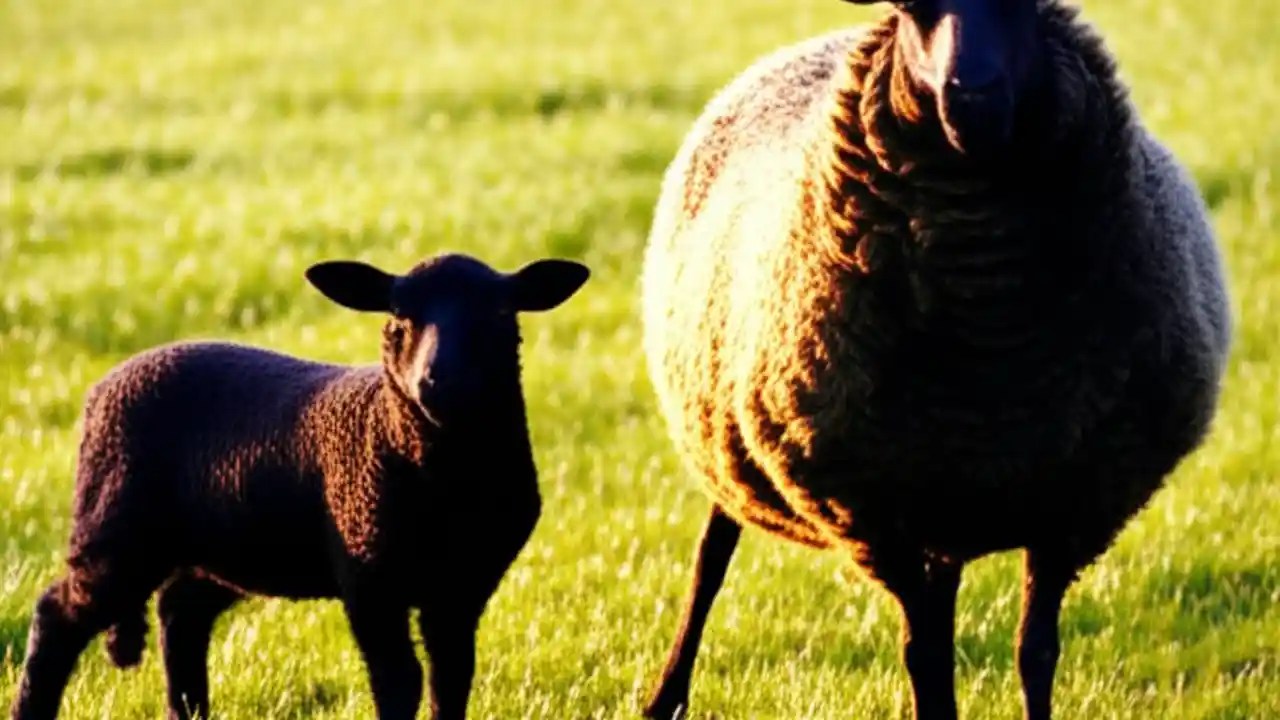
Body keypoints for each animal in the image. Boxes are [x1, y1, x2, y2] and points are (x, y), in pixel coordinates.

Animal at [9, 252, 590, 720]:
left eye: (498, 315)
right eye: (398, 318)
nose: (439, 382)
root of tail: (105, 385)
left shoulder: (463, 586)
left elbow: (452, 681)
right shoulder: (367, 578)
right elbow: (399, 683)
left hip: (226, 547)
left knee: (180, 612)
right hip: (117, 528)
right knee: (57, 617)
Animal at [640, 1, 1231, 719]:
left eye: (1025, 9)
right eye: (910, 11)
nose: (968, 96)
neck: (987, 332)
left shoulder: (1075, 505)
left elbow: (1035, 650)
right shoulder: (875, 513)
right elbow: (925, 658)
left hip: (946, 492)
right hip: (742, 446)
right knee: (712, 555)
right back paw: (665, 693)